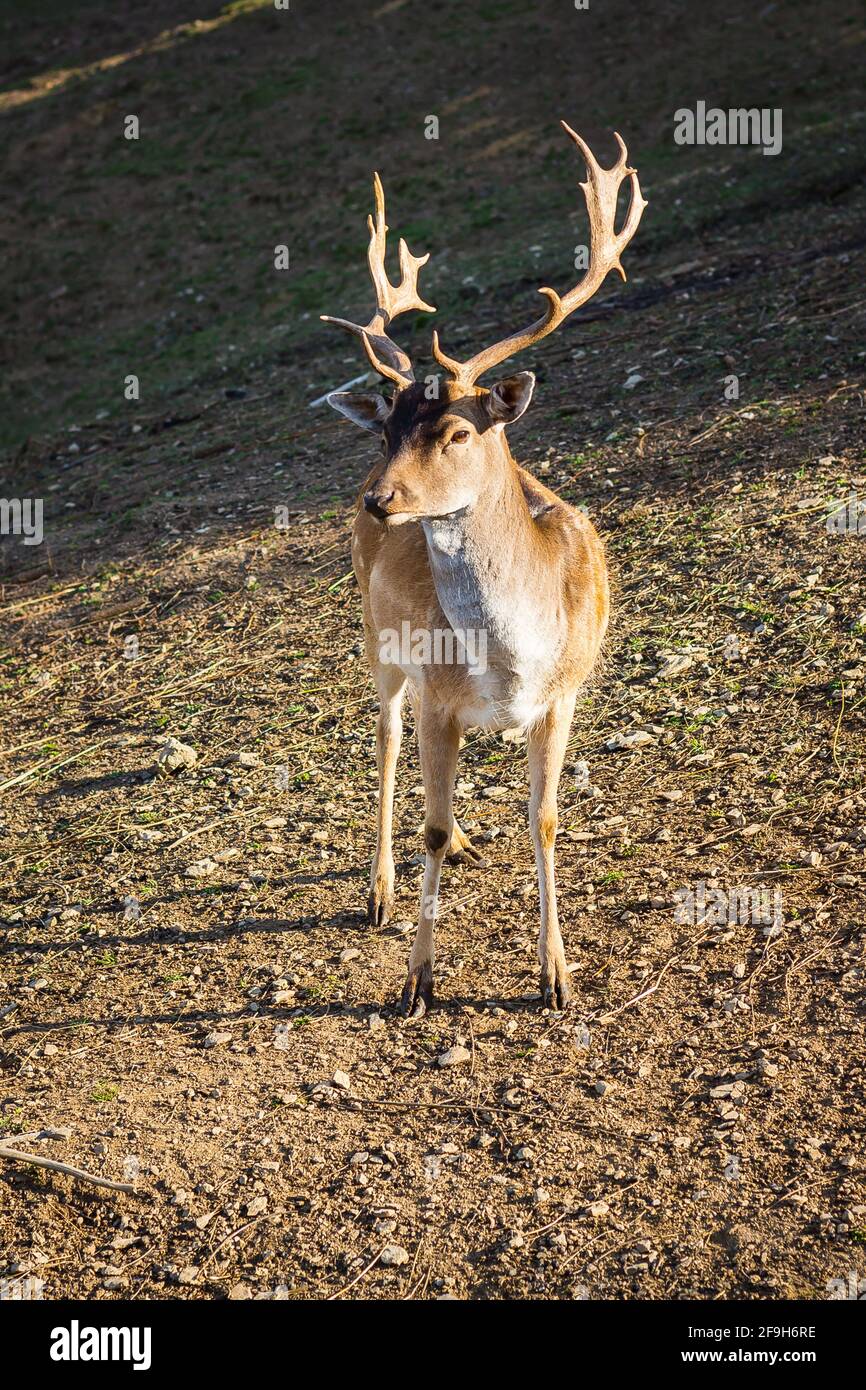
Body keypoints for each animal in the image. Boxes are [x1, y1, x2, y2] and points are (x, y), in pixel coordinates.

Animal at [322, 122, 646, 1017]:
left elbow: (545, 819)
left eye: (459, 432)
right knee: (386, 736)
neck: (510, 659)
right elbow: (427, 819)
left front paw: (557, 976)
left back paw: (466, 841)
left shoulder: (564, 693)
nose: (381, 499)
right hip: (378, 640)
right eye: (387, 427)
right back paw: (380, 890)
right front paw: (417, 982)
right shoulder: (438, 694)